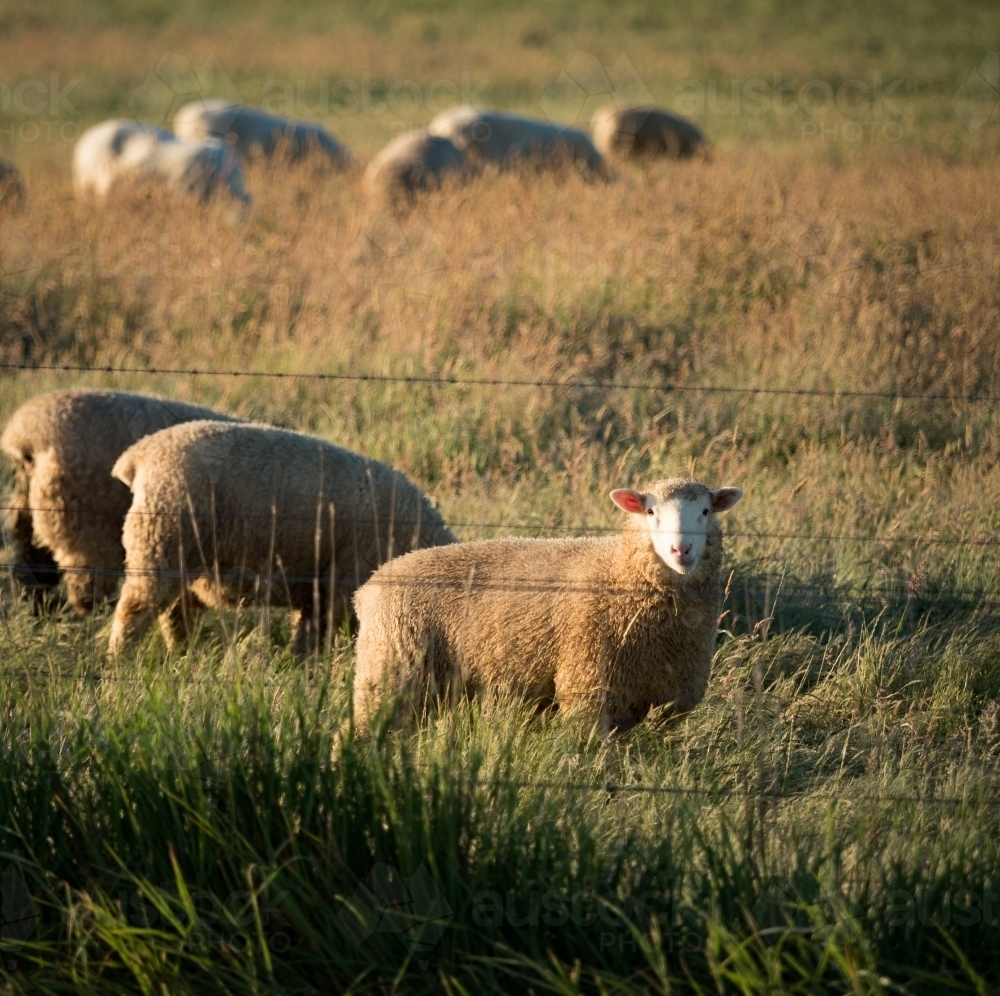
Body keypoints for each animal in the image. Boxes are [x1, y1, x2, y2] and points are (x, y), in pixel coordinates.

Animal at [107, 421, 457, 656]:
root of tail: (139, 454)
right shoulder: (343, 584)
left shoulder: (319, 588)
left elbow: (308, 635)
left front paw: (302, 669)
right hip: (159, 543)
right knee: (135, 611)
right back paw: (120, 659)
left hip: (186, 557)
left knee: (177, 615)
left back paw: (182, 655)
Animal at [352, 478, 742, 733]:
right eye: (650, 512)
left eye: (705, 511)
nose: (682, 550)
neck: (618, 573)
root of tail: (370, 584)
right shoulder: (589, 688)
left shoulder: (665, 703)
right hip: (389, 669)